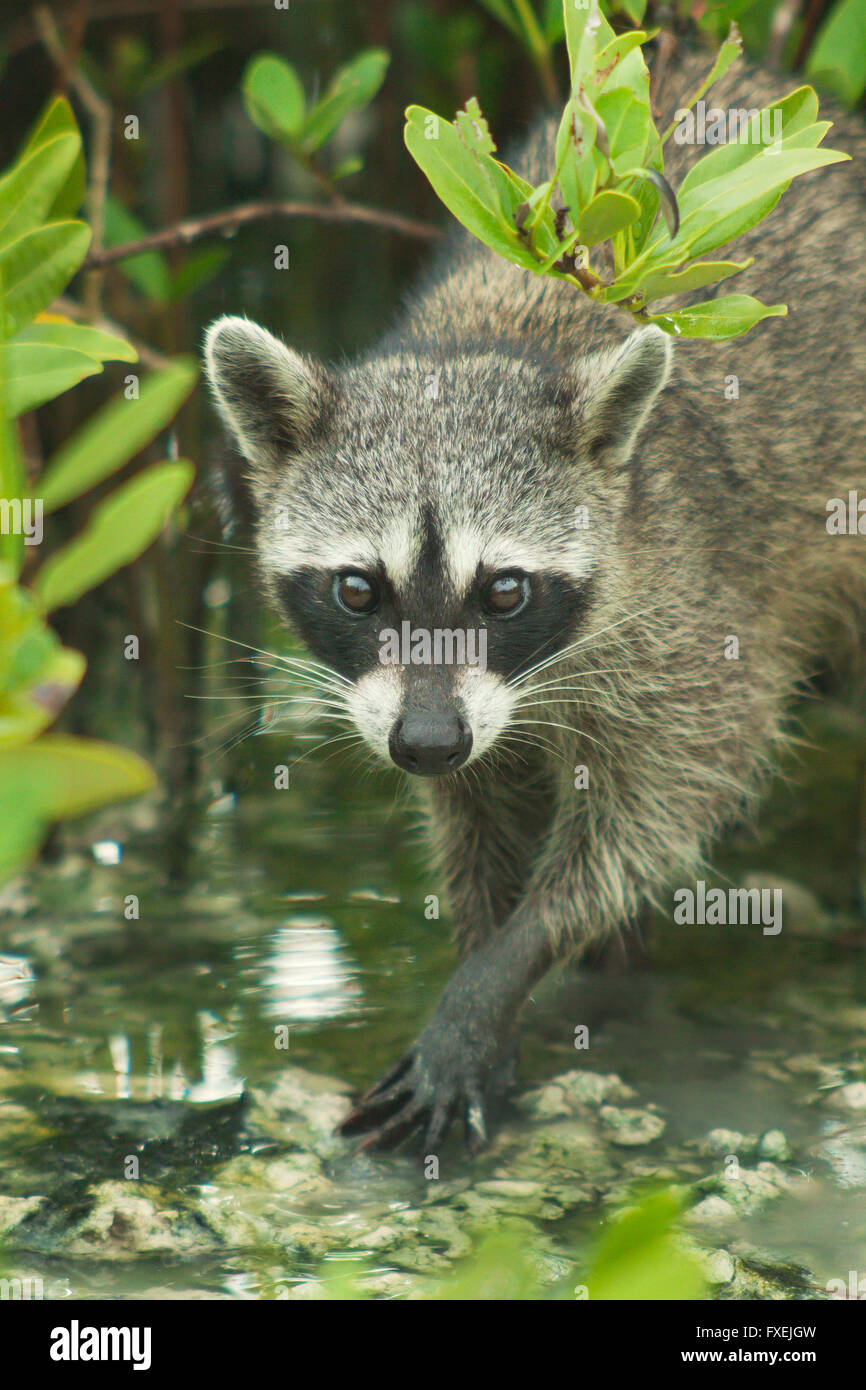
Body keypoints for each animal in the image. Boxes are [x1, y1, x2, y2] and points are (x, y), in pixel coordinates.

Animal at [204, 48, 866, 1152]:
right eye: (358, 588)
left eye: (503, 590)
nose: (426, 744)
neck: (481, 350)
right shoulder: (430, 710)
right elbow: (477, 819)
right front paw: (497, 954)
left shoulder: (690, 618)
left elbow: (657, 805)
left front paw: (504, 970)